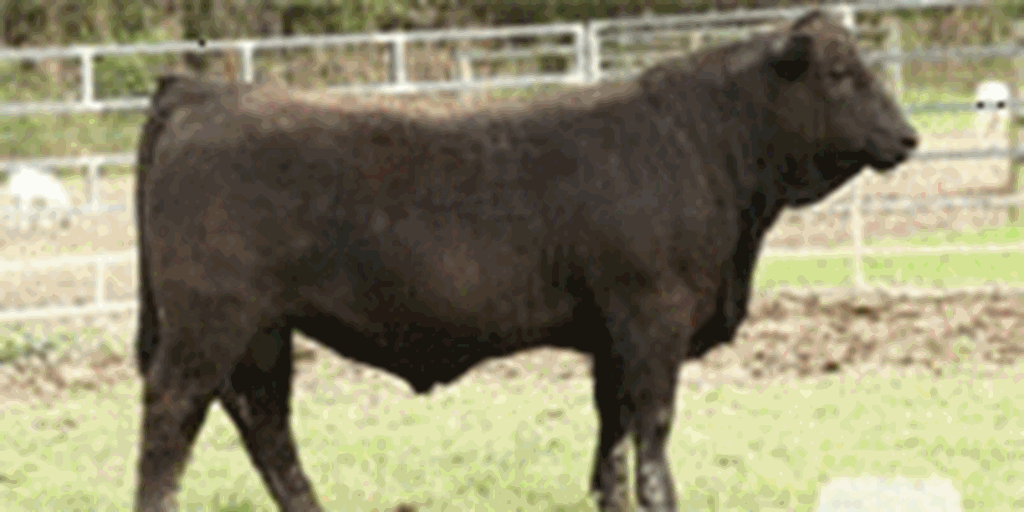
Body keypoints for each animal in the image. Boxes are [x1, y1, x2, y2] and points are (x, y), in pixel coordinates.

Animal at [132, 9, 917, 512]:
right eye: (840, 73)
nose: (909, 136)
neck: (702, 147)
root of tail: (206, 92)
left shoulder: (611, 338)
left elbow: (612, 442)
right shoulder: (652, 319)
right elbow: (652, 435)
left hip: (262, 331)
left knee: (265, 425)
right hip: (209, 325)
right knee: (172, 422)